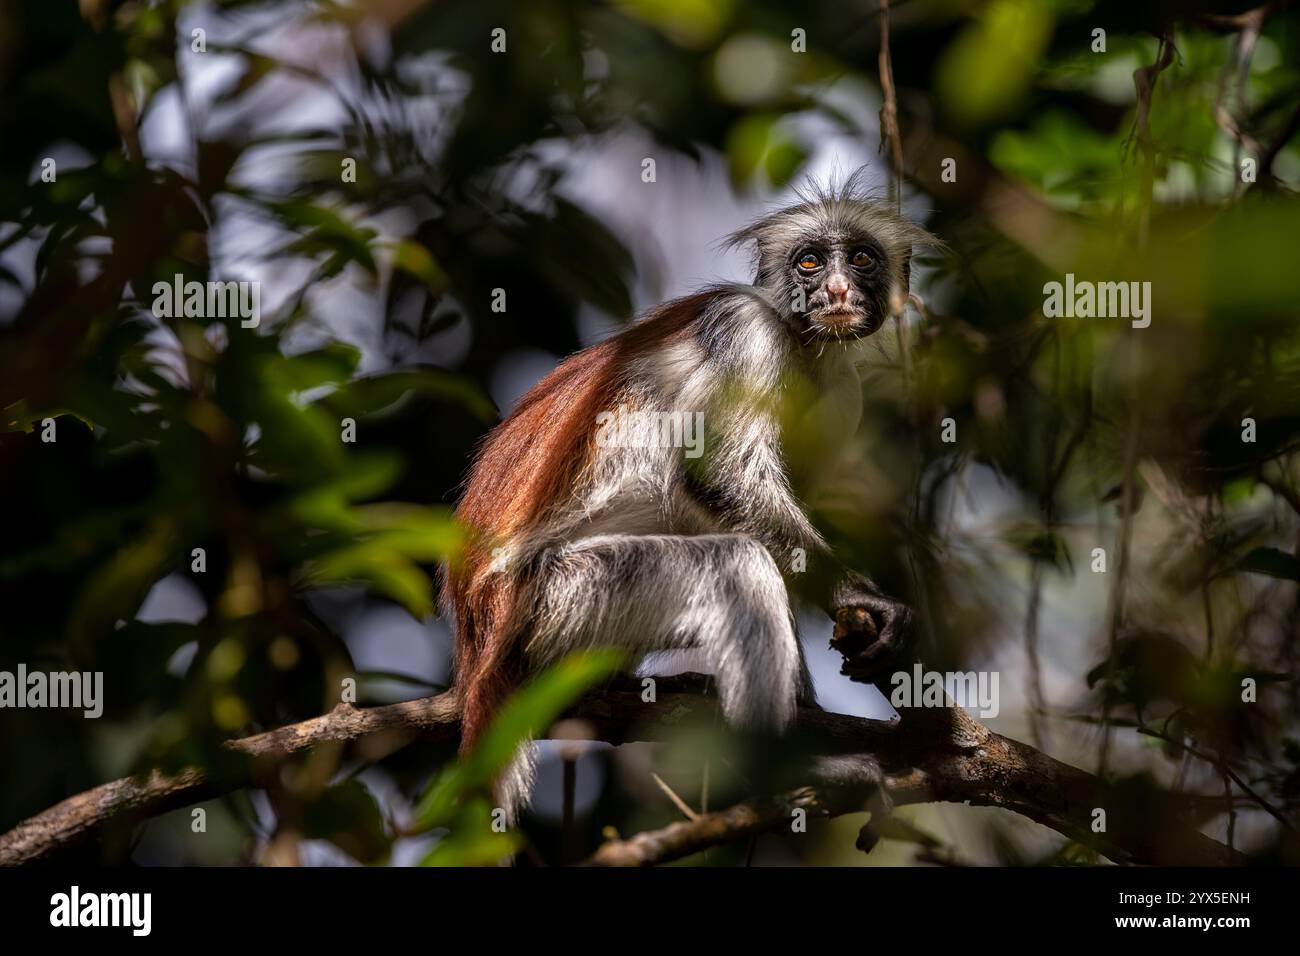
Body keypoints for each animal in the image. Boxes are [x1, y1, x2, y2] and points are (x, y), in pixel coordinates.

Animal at [444, 174, 936, 818]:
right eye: (809, 262)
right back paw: (778, 766)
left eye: (861, 259)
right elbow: (718, 479)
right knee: (737, 564)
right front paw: (862, 597)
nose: (835, 289)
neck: (803, 347)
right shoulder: (746, 330)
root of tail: (477, 639)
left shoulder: (842, 392)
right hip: (557, 603)